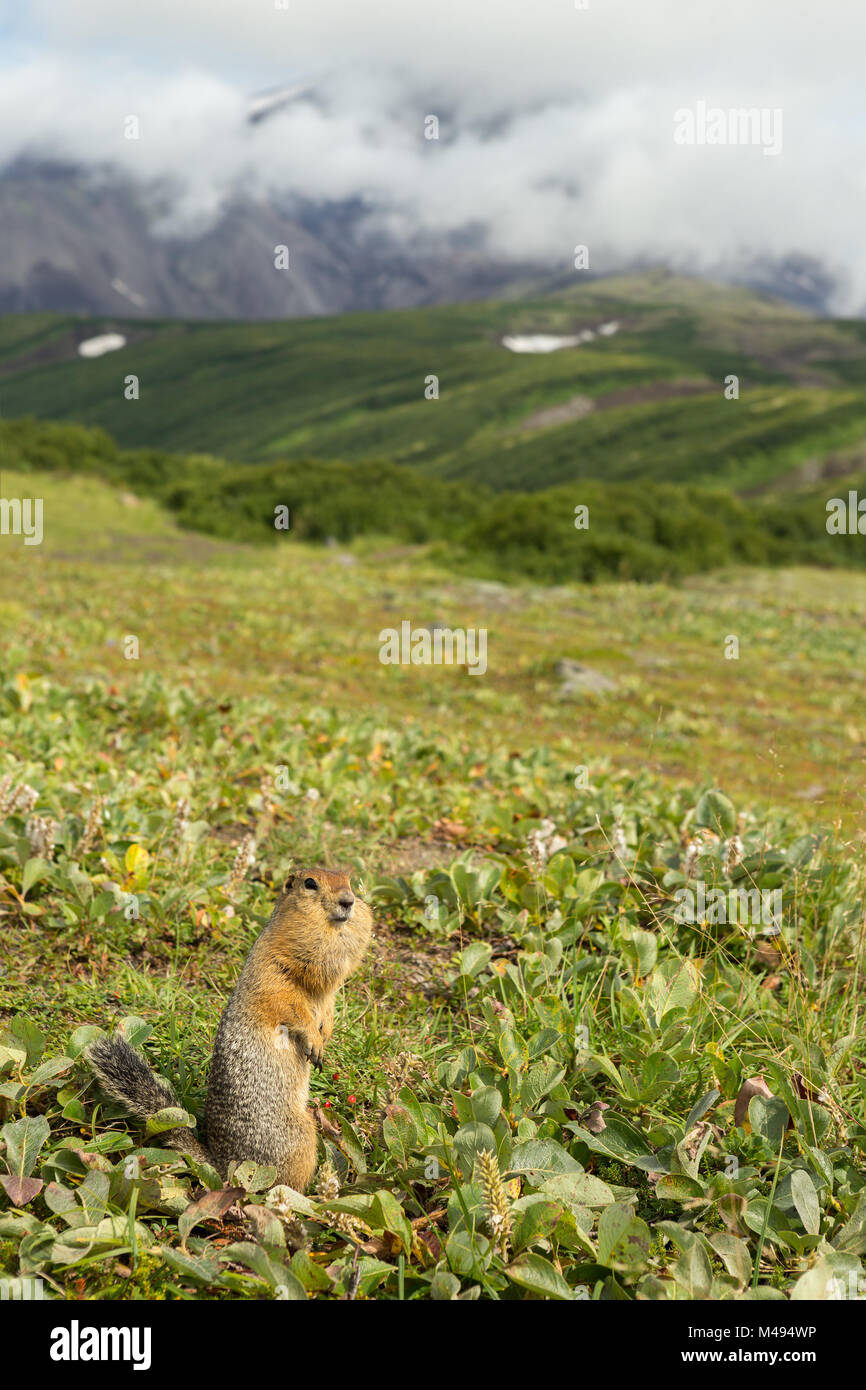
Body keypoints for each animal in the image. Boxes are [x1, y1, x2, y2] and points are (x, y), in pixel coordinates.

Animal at [86, 867, 372, 1191]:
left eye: (349, 880)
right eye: (310, 883)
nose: (348, 901)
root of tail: (221, 1165)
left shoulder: (326, 994)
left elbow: (329, 1007)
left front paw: (326, 1033)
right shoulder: (275, 974)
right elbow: (289, 1006)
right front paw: (314, 1040)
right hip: (298, 1137)